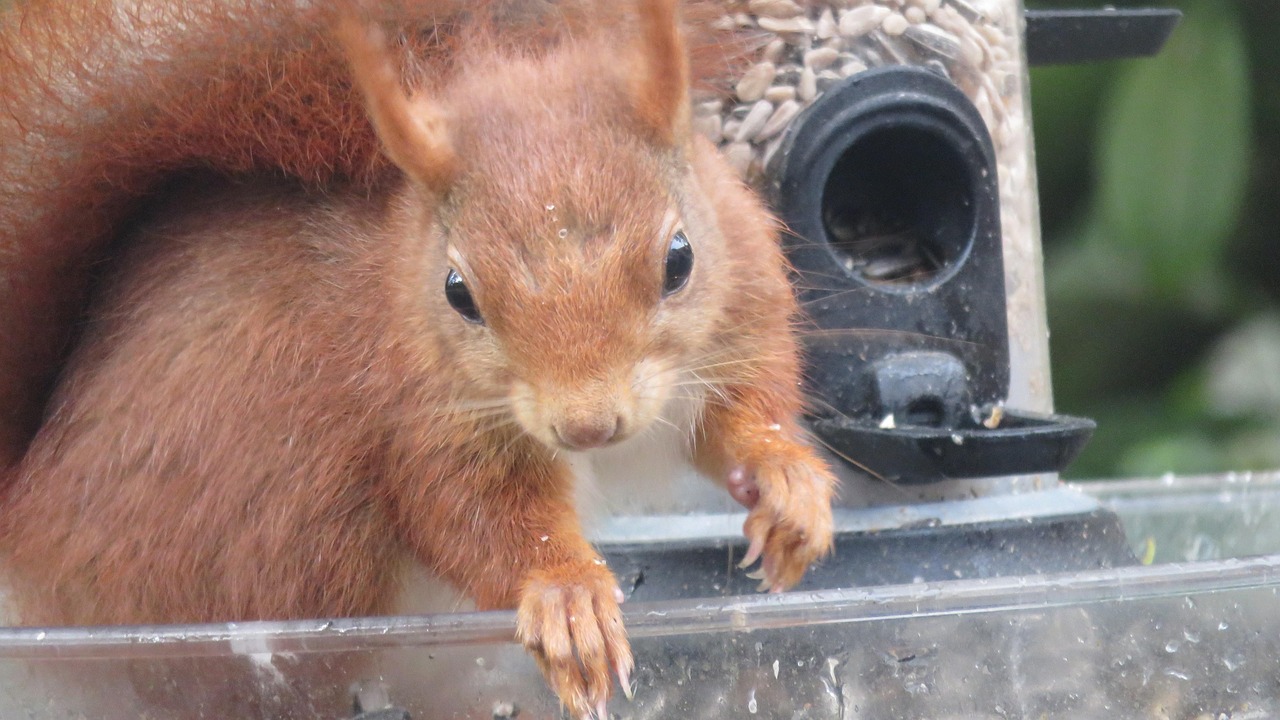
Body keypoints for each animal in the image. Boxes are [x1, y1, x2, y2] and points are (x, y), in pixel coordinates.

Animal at [0, 0, 838, 716]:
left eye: (680, 258)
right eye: (457, 292)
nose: (587, 427)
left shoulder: (740, 325)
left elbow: (737, 422)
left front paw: (787, 484)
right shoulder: (420, 414)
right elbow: (468, 514)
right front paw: (568, 595)